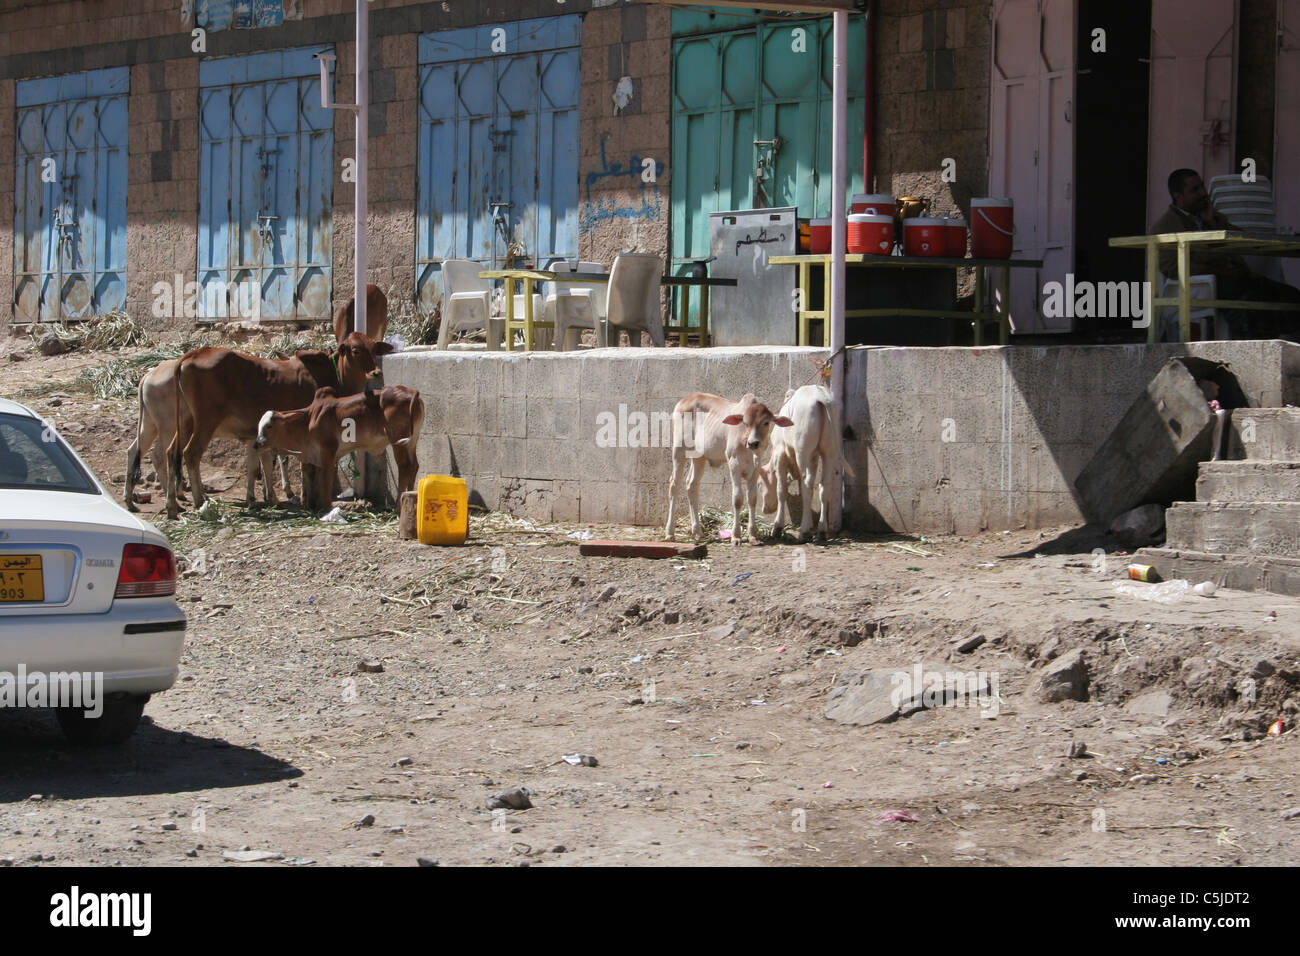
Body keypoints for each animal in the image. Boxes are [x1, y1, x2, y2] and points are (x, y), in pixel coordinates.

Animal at [124, 358, 290, 512]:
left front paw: (261, 497)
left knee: (135, 451)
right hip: (170, 428)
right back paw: (179, 501)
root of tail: (148, 377)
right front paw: (270, 497)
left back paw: (132, 502)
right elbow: (265, 463)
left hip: (150, 425)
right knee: (165, 455)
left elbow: (259, 464)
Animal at [166, 332, 393, 519]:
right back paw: (199, 501)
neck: (333, 374)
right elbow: (305, 465)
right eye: (355, 350)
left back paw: (173, 506)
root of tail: (194, 353)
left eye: (374, 348)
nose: (376, 373)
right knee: (191, 453)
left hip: (185, 423)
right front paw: (308, 500)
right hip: (205, 422)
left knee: (171, 453)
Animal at [254, 384, 424, 513]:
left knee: (404, 467)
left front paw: (326, 508)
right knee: (414, 466)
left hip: (398, 442)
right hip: (412, 441)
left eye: (269, 426)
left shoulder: (327, 454)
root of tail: (411, 392)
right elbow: (316, 479)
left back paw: (398, 508)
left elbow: (326, 481)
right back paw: (410, 497)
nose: (257, 444)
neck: (309, 420)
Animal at [664, 392, 792, 545]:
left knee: (691, 485)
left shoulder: (755, 468)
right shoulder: (734, 463)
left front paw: (753, 536)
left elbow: (752, 498)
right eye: (745, 423)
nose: (753, 443)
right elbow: (737, 499)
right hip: (679, 450)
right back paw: (670, 533)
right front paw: (736, 536)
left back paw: (698, 532)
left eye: (766, 422)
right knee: (674, 485)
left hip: (699, 457)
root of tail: (685, 399)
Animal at [757, 384, 853, 542]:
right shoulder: (813, 457)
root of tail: (821, 396)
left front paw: (777, 527)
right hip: (829, 450)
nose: (765, 509)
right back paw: (821, 531)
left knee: (807, 485)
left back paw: (804, 531)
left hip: (803, 450)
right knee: (824, 485)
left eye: (759, 484)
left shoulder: (779, 454)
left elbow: (781, 490)